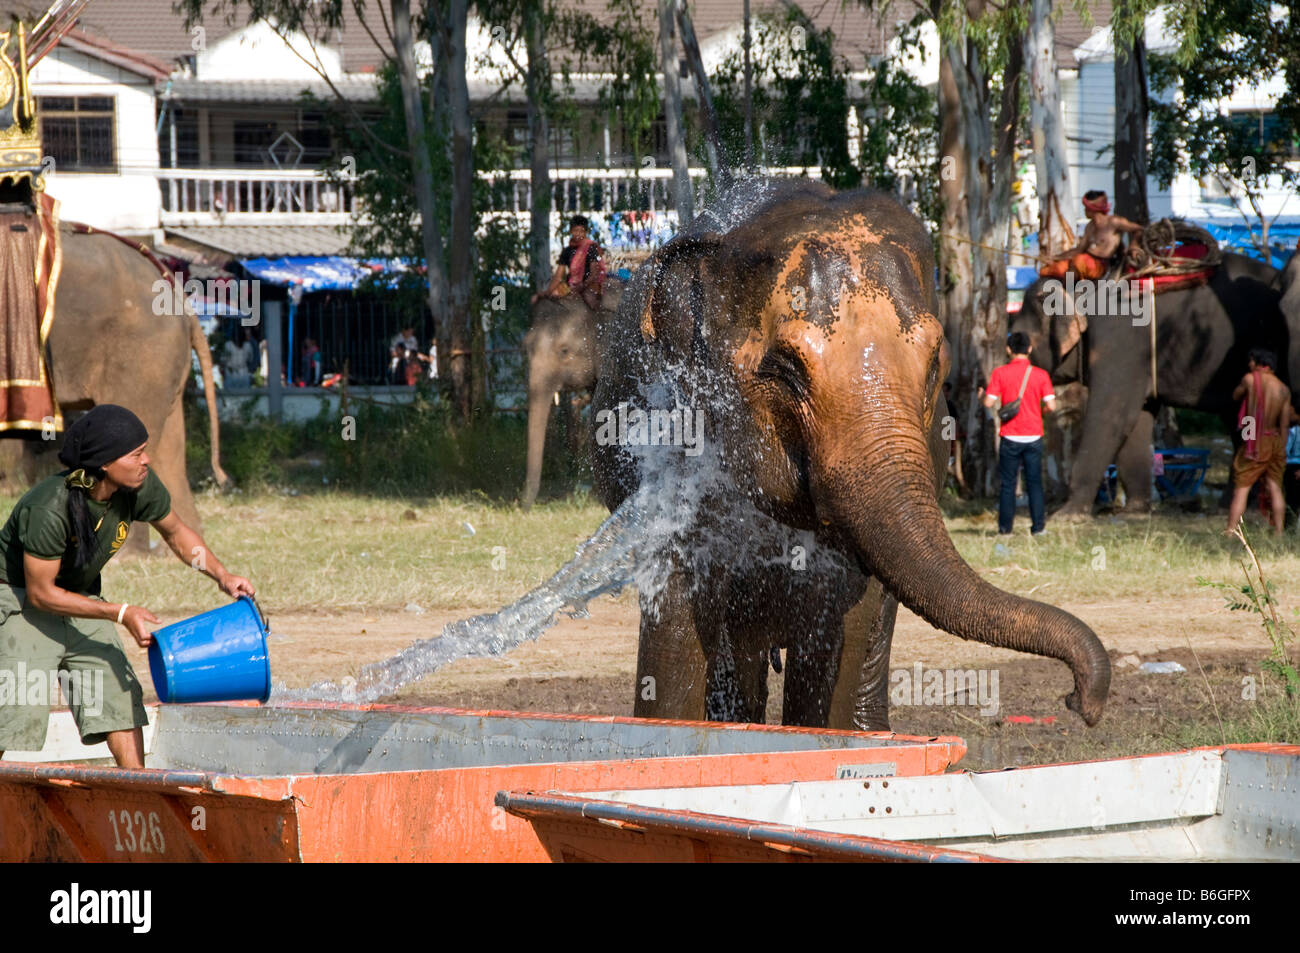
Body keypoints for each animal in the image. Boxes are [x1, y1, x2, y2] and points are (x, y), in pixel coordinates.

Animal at [1009, 253, 1288, 515]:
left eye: (1016, 335)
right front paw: (1135, 511)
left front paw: (1066, 515)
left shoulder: (1119, 341)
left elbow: (1111, 417)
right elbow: (1138, 420)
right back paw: (1229, 508)